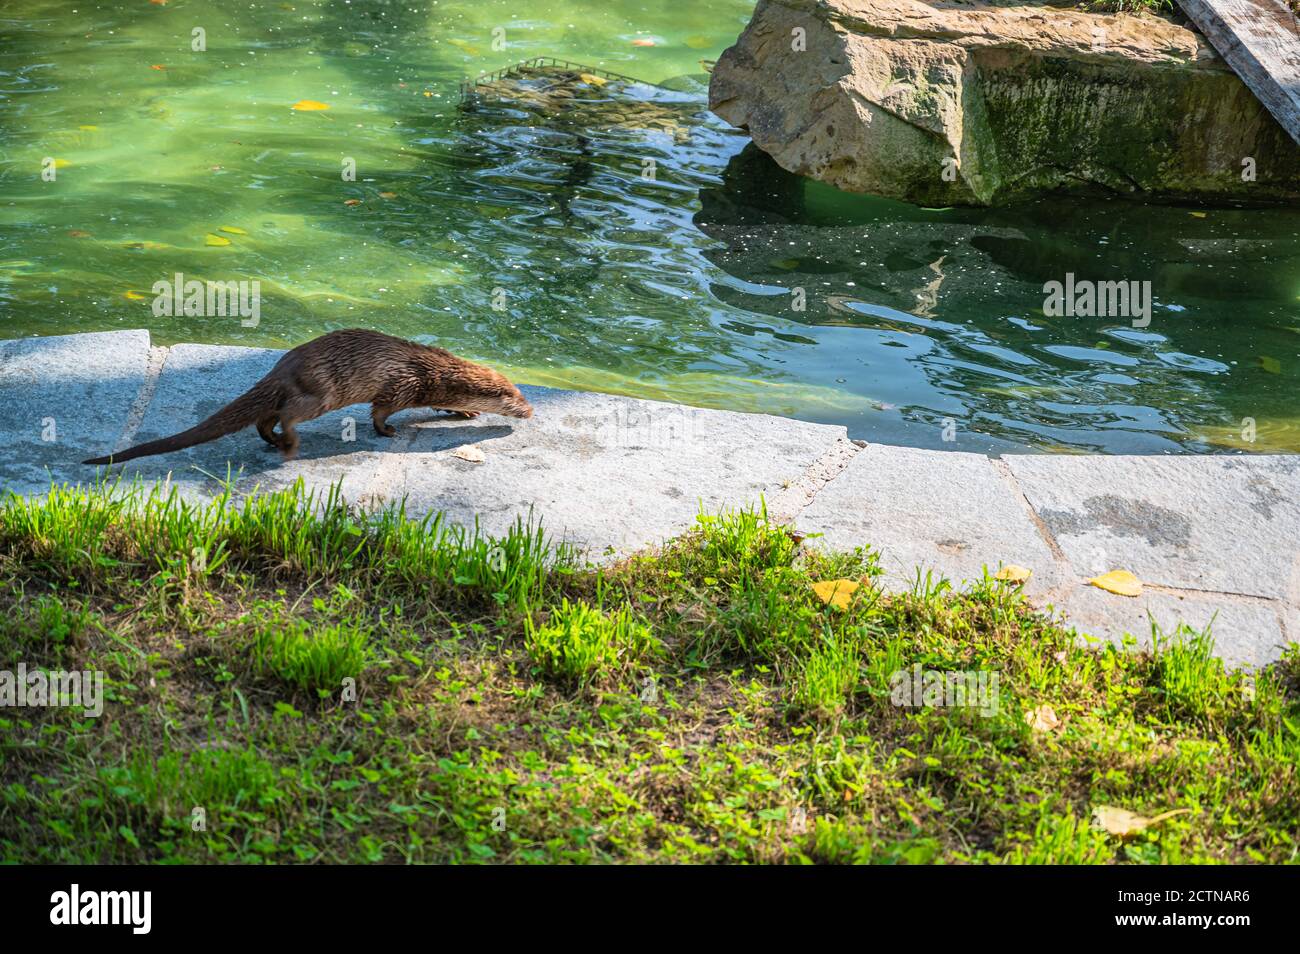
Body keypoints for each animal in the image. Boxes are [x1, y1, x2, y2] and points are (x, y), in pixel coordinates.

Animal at [84, 329, 533, 465]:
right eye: (516, 395)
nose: (531, 410)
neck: (435, 369)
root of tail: (282, 367)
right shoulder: (401, 386)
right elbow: (380, 411)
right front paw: (386, 432)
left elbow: (447, 403)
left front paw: (465, 413)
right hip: (322, 393)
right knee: (286, 414)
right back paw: (290, 444)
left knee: (264, 417)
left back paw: (272, 442)